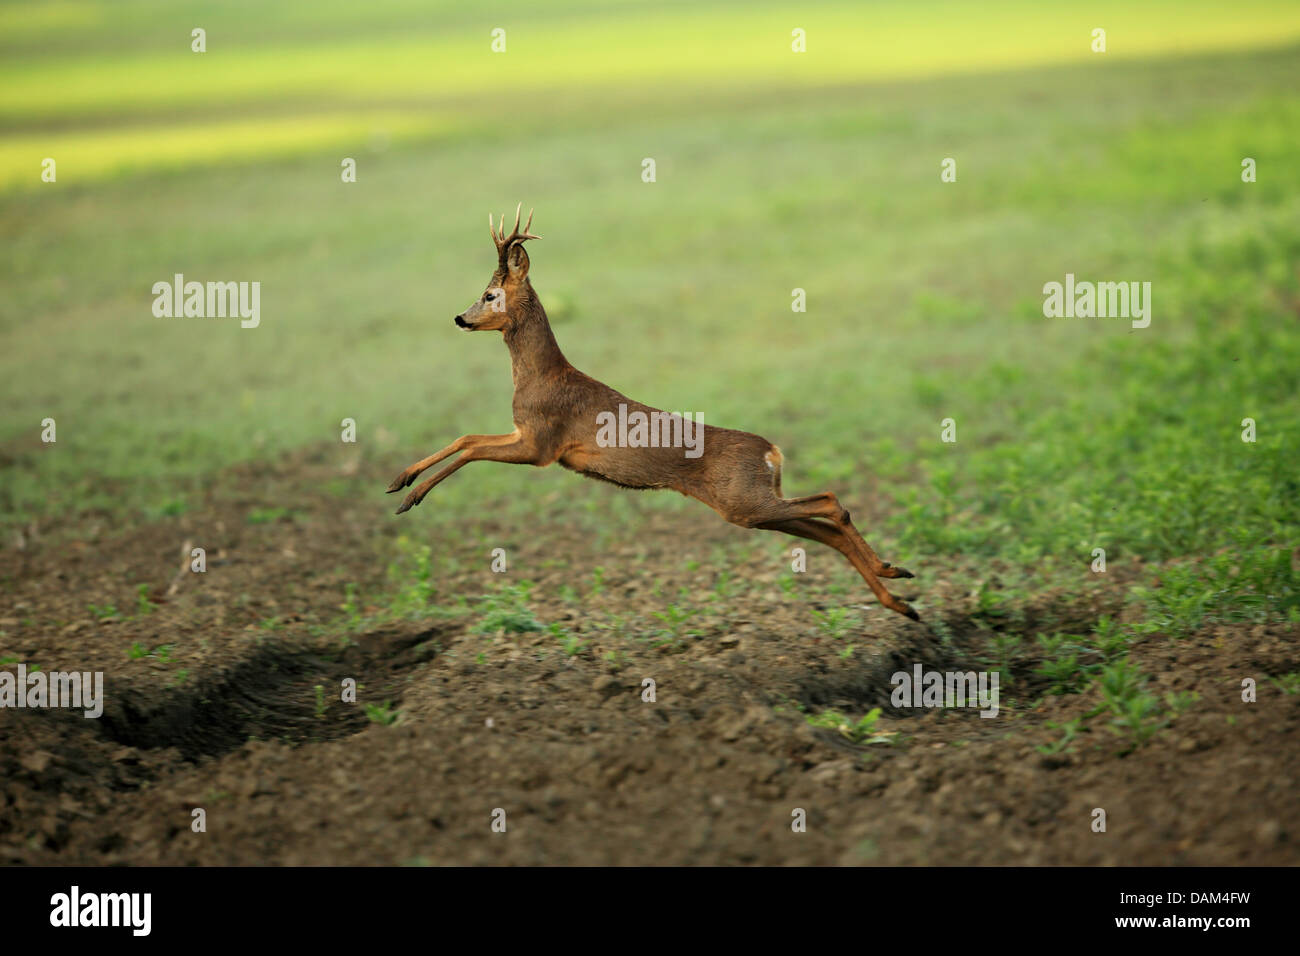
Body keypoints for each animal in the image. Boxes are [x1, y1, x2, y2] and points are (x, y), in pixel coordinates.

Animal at [387, 205, 925, 621]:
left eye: (490, 294)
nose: (461, 318)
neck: (541, 376)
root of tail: (771, 452)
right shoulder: (530, 437)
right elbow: (466, 439)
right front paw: (399, 483)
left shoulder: (541, 443)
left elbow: (471, 445)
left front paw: (409, 495)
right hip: (752, 506)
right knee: (825, 529)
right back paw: (900, 595)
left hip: (745, 501)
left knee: (831, 503)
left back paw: (893, 578)